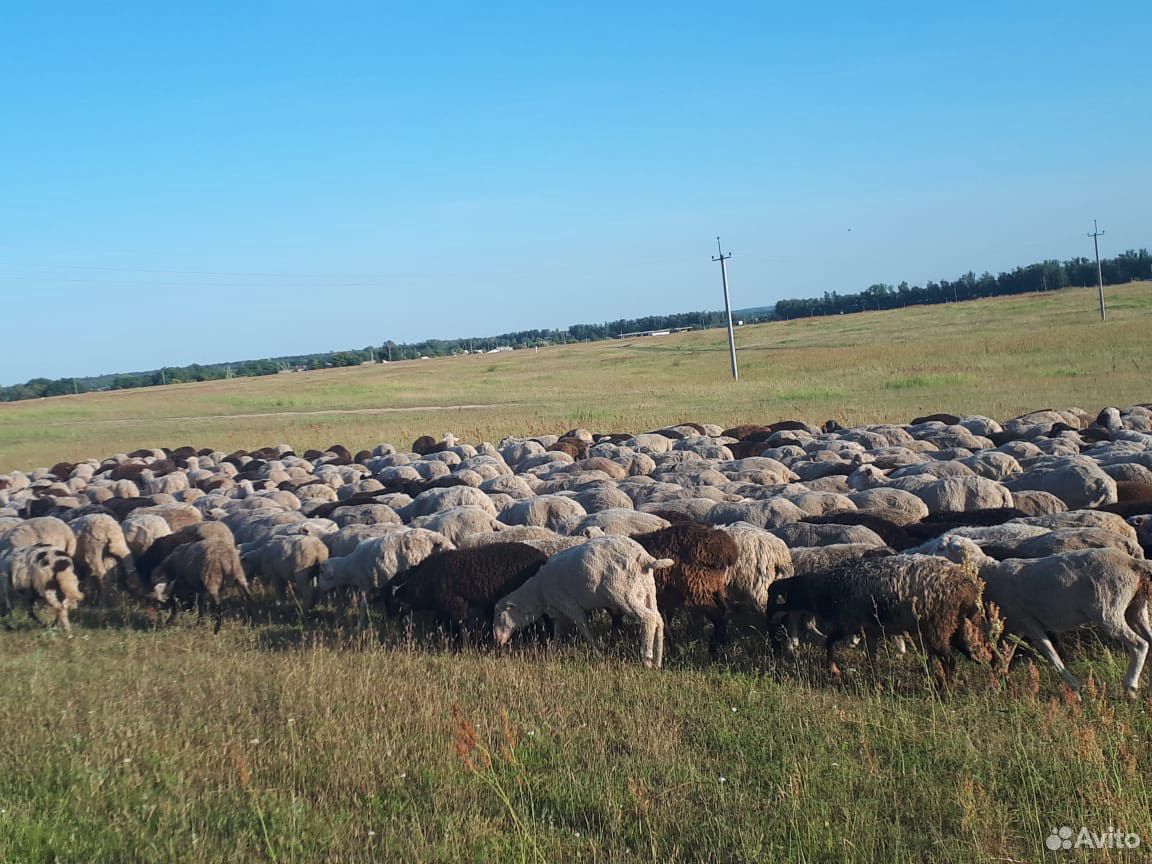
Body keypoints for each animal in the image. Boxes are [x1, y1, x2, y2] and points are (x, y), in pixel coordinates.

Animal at [386, 542, 549, 644]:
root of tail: (544, 558)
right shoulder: (443, 608)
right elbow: (440, 624)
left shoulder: (455, 605)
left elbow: (456, 628)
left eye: (393, 602)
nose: (389, 622)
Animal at [492, 535, 673, 667]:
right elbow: (558, 631)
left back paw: (647, 660)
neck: (538, 592)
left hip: (623, 593)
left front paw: (598, 653)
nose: (497, 640)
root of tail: (643, 558)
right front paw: (554, 651)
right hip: (647, 591)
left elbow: (583, 627)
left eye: (500, 615)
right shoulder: (558, 610)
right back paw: (658, 660)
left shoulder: (569, 604)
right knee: (658, 619)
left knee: (648, 619)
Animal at [767, 554, 995, 684]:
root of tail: (968, 588)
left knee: (950, 660)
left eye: (775, 599)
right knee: (964, 653)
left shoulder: (847, 624)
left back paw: (946, 688)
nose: (773, 643)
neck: (821, 590)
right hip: (953, 626)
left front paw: (834, 670)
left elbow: (829, 643)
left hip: (937, 626)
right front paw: (874, 679)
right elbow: (871, 657)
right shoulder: (869, 630)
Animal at [936, 537, 1152, 695]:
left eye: (942, 547)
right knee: (1148, 639)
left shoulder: (1023, 621)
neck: (988, 572)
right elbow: (1015, 653)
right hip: (1136, 609)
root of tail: (1134, 563)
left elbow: (1044, 654)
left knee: (1139, 644)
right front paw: (997, 684)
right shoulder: (1020, 625)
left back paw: (1130, 687)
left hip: (1108, 609)